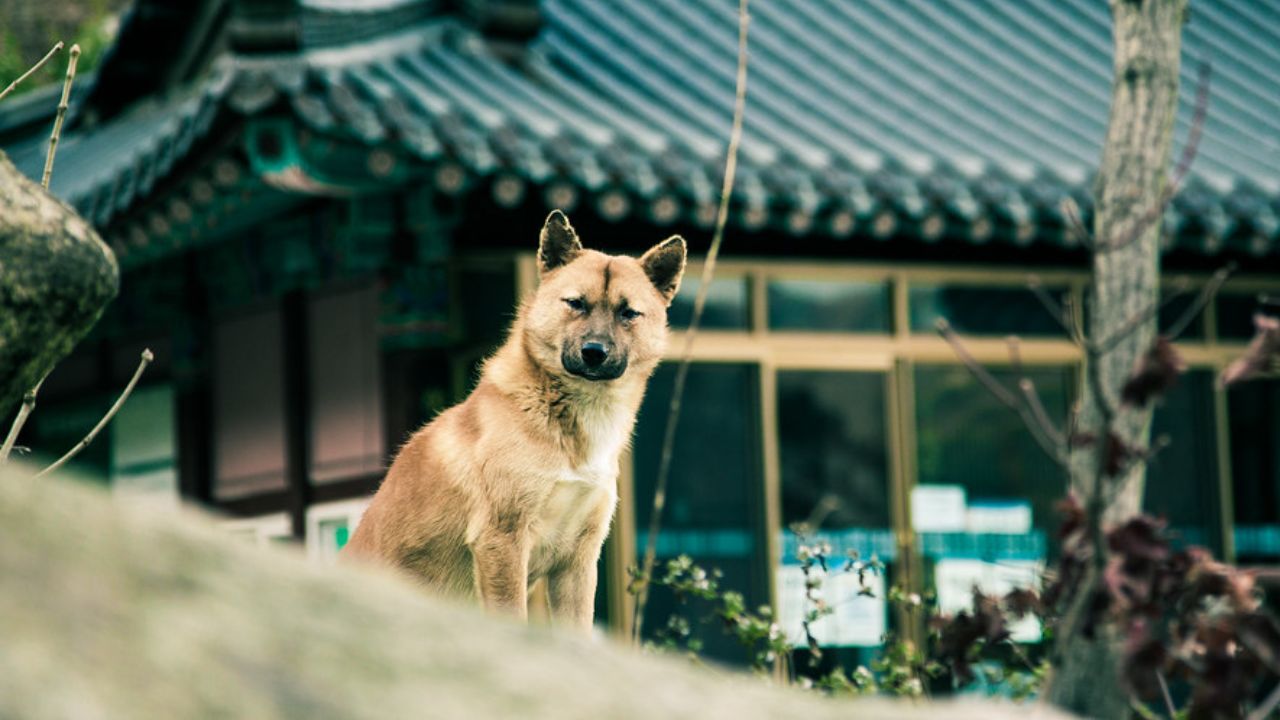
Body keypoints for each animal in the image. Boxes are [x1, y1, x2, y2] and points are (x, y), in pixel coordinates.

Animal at [343, 210, 686, 630]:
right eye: (575, 303)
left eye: (629, 313)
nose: (594, 352)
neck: (565, 426)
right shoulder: (502, 538)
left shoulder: (578, 560)